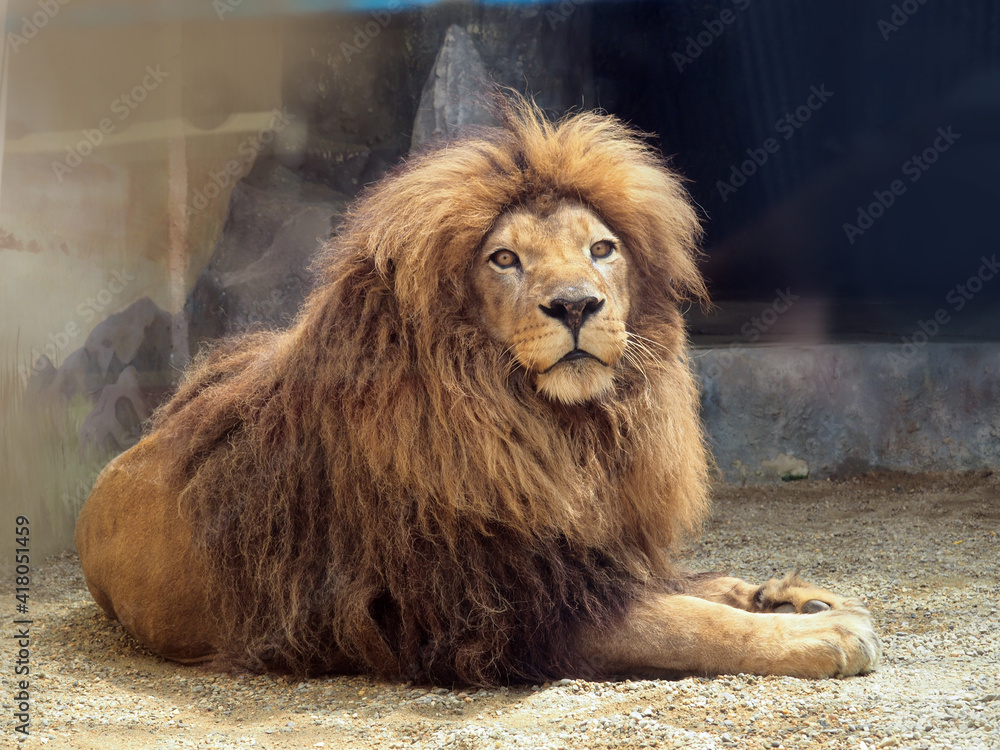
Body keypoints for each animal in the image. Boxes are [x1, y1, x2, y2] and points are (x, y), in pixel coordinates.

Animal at [75, 95, 881, 685]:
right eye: (503, 259)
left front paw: (790, 596)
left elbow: (691, 583)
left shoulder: (586, 558)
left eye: (602, 249)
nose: (577, 305)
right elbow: (687, 623)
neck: (556, 431)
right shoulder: (503, 613)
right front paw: (822, 631)